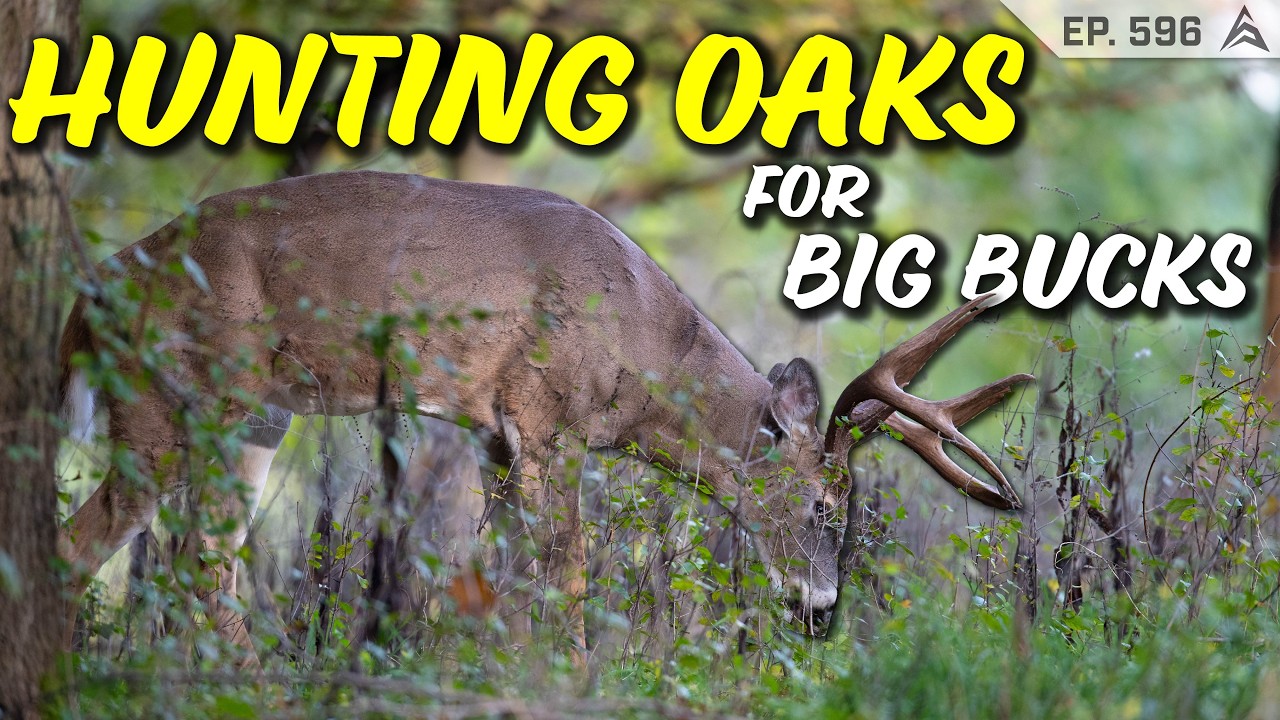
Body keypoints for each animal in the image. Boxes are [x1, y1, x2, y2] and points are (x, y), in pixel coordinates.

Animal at [57, 170, 1031, 664]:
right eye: (828, 506)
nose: (822, 610)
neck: (645, 347)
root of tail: (93, 290)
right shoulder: (546, 415)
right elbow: (568, 574)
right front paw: (575, 676)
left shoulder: (494, 433)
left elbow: (505, 578)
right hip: (171, 397)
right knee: (88, 542)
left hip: (255, 416)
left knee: (197, 563)